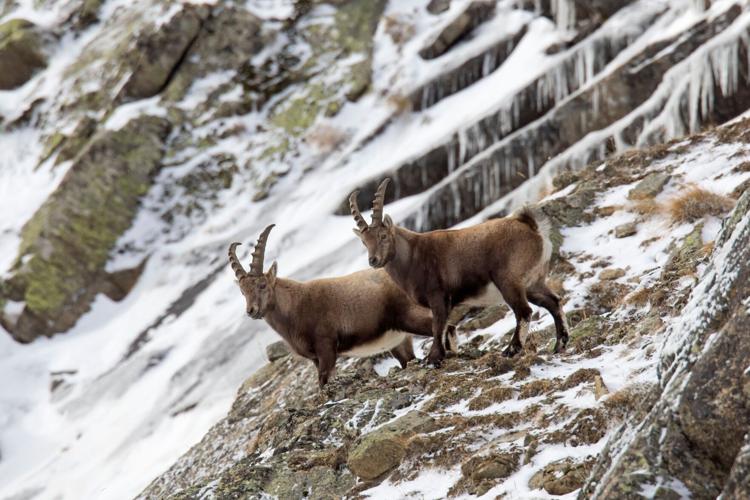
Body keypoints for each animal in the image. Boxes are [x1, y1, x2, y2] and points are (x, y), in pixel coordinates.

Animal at [228, 224, 449, 387]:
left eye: (262, 285)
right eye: (243, 292)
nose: (251, 311)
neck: (295, 306)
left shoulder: (326, 348)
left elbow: (323, 382)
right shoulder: (314, 359)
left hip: (412, 318)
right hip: (398, 340)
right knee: (410, 357)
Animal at [350, 179, 568, 367]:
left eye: (383, 235)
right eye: (364, 242)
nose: (373, 260)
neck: (413, 256)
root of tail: (532, 227)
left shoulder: (438, 297)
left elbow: (438, 327)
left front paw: (433, 359)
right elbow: (443, 326)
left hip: (508, 281)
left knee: (524, 311)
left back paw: (511, 350)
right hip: (533, 283)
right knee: (553, 302)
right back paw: (560, 344)